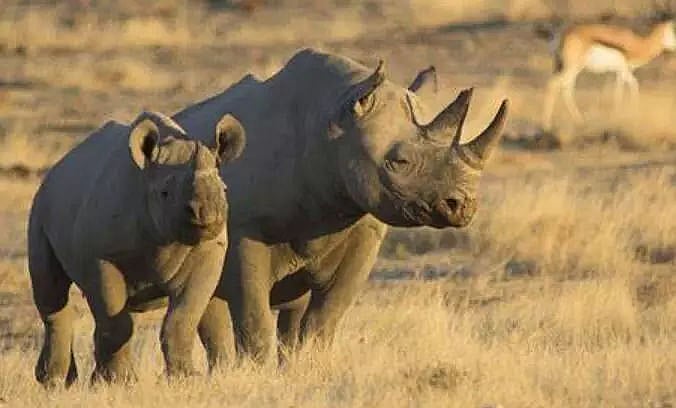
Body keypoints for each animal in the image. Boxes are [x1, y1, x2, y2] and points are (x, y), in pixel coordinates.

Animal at [27, 111, 245, 386]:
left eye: (224, 189)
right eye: (164, 193)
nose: (206, 213)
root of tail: (56, 169)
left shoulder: (207, 251)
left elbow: (183, 316)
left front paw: (185, 378)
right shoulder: (102, 258)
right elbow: (116, 322)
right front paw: (117, 382)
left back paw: (221, 373)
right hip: (40, 207)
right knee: (53, 294)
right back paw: (57, 382)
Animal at [173, 48, 508, 366]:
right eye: (399, 162)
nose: (463, 206)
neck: (332, 125)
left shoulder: (364, 226)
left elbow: (326, 317)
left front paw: (310, 366)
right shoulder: (244, 229)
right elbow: (254, 318)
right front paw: (253, 373)